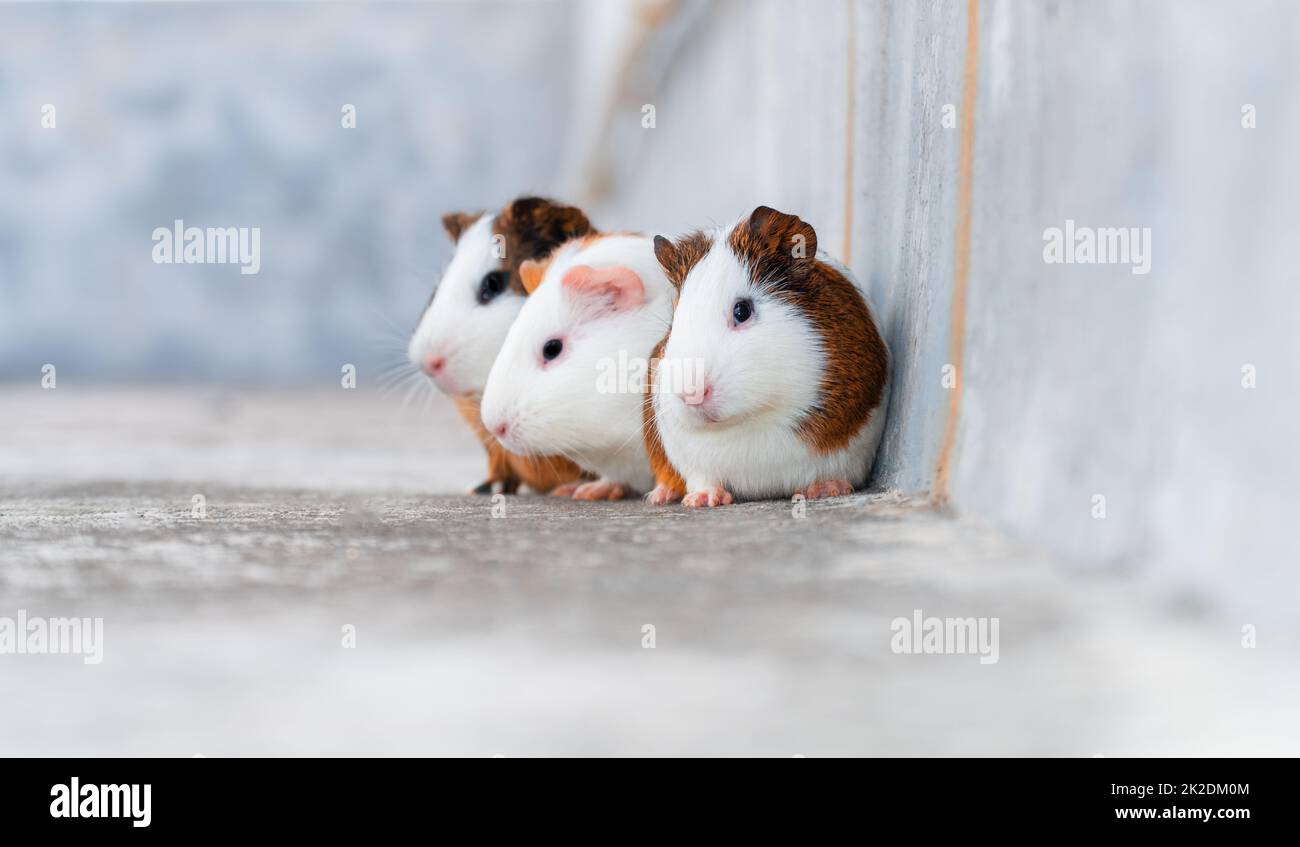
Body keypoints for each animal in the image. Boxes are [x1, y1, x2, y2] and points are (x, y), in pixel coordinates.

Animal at [408, 197, 594, 494]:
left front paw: (576, 489)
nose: (430, 363)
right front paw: (483, 489)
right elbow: (500, 467)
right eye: (436, 290)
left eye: (493, 283)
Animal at [644, 205, 890, 507]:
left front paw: (828, 489)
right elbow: (703, 479)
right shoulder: (691, 459)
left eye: (742, 311)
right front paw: (703, 500)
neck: (752, 418)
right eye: (673, 323)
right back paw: (660, 496)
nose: (691, 393)